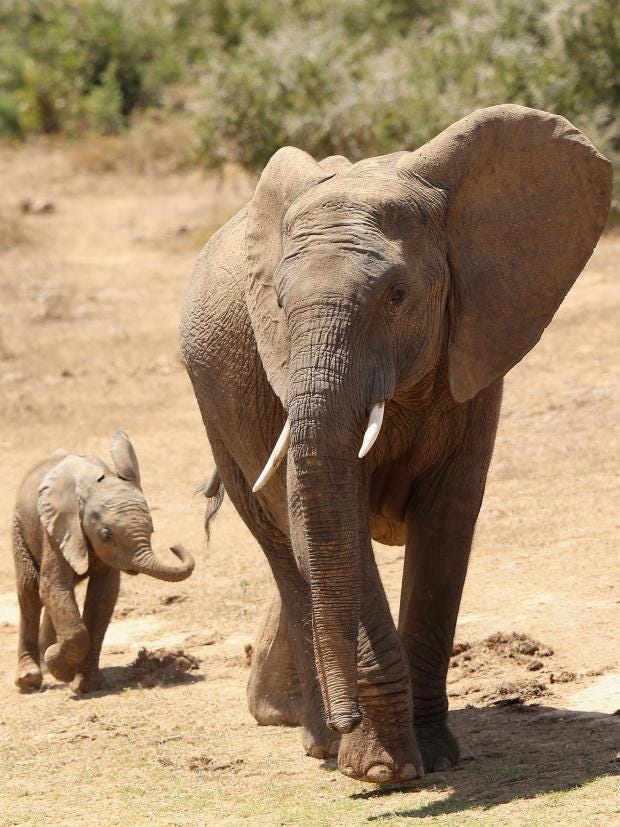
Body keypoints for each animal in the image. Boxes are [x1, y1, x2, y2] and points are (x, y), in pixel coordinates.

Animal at [13, 431, 195, 694]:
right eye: (106, 534)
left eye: (152, 530)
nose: (175, 547)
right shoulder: (57, 529)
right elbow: (53, 587)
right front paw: (61, 669)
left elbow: (103, 597)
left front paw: (84, 683)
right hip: (19, 526)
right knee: (29, 591)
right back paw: (30, 678)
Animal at [179, 105, 611, 784]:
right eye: (278, 302)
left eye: (397, 296)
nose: (349, 718)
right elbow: (331, 520)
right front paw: (384, 771)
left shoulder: (474, 349)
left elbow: (447, 522)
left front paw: (434, 756)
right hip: (214, 405)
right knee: (284, 547)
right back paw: (318, 740)